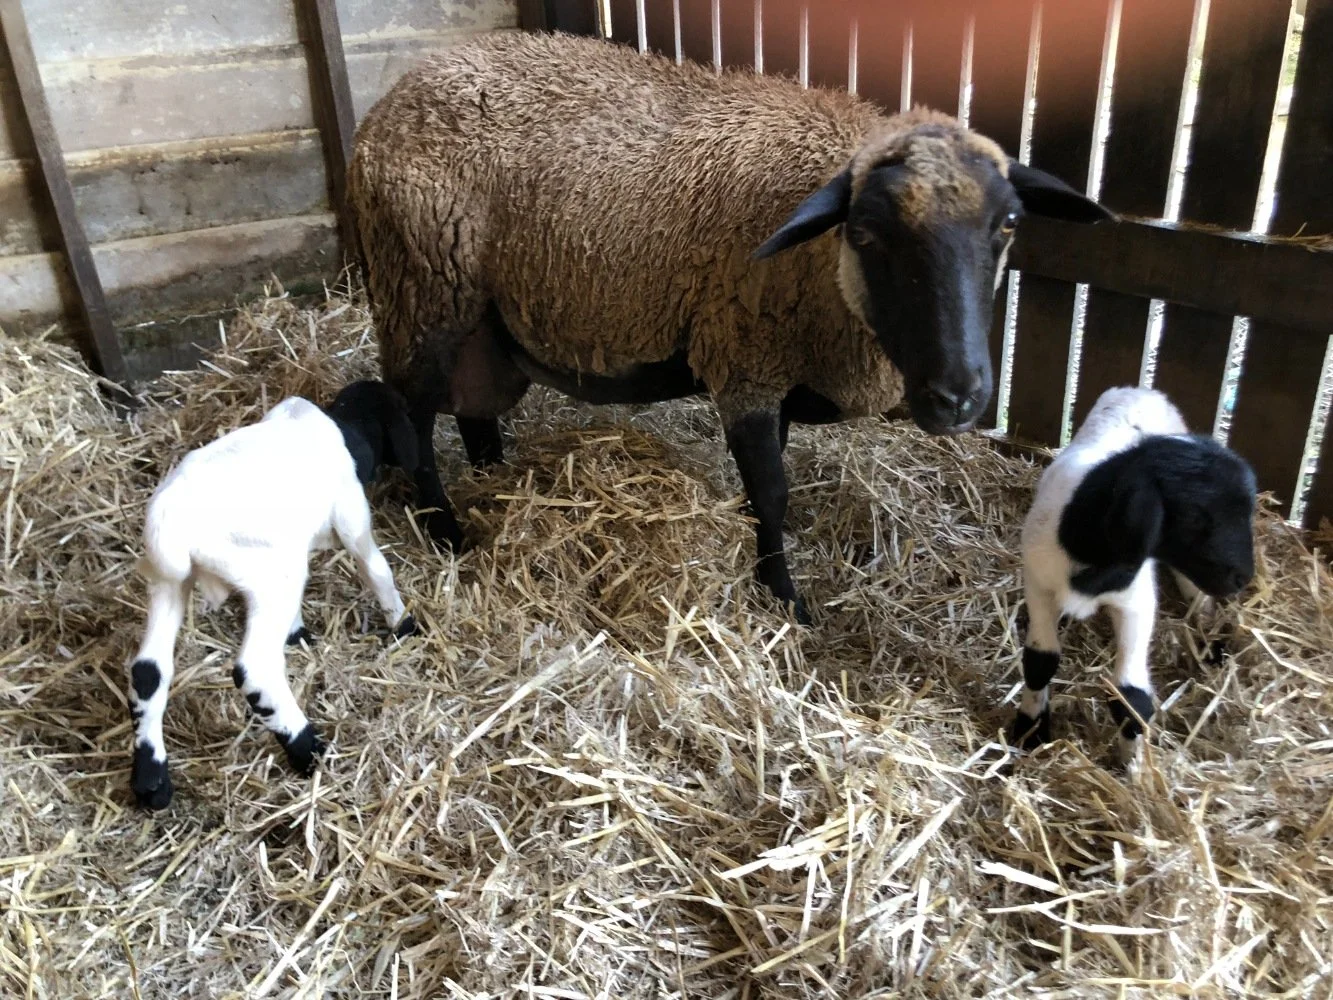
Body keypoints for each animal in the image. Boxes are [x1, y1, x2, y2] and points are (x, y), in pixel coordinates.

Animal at [126, 380, 420, 809]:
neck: (342, 427)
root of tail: (170, 523)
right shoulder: (351, 516)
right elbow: (376, 569)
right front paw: (404, 625)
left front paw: (298, 635)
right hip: (266, 574)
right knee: (255, 671)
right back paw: (309, 751)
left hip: (171, 581)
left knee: (148, 671)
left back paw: (152, 783)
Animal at [346, 29, 1113, 623]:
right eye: (865, 233)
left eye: (1007, 224)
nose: (958, 397)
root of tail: (391, 99)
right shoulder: (745, 365)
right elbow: (769, 493)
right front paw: (784, 599)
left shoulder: (775, 375)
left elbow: (766, 485)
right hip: (421, 294)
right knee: (412, 422)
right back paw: (446, 531)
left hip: (477, 317)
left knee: (473, 414)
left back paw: (501, 486)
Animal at [1012, 386, 1257, 764]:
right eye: (1195, 517)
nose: (1244, 577)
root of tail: (1144, 389)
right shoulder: (1039, 583)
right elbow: (1040, 662)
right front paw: (1030, 728)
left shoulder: (1135, 601)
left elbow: (1132, 696)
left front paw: (1134, 765)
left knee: (1195, 595)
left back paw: (1208, 639)